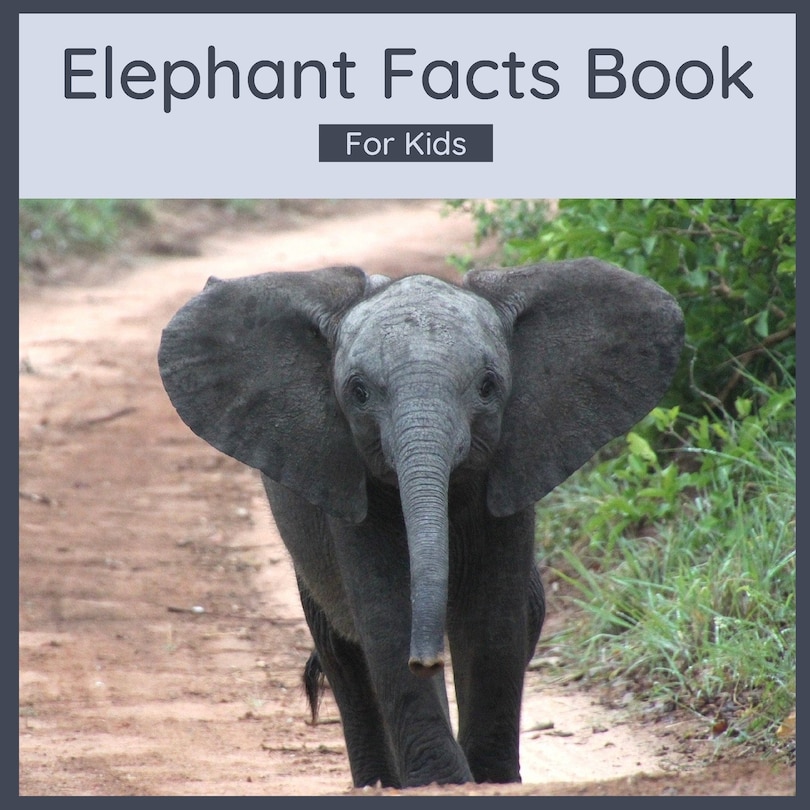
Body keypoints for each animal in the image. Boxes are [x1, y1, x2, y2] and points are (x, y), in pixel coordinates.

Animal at [158, 259, 684, 789]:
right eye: (358, 393)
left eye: (488, 387)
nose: (427, 662)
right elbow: (387, 612)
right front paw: (443, 781)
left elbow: (493, 617)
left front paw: (491, 779)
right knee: (340, 651)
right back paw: (378, 783)